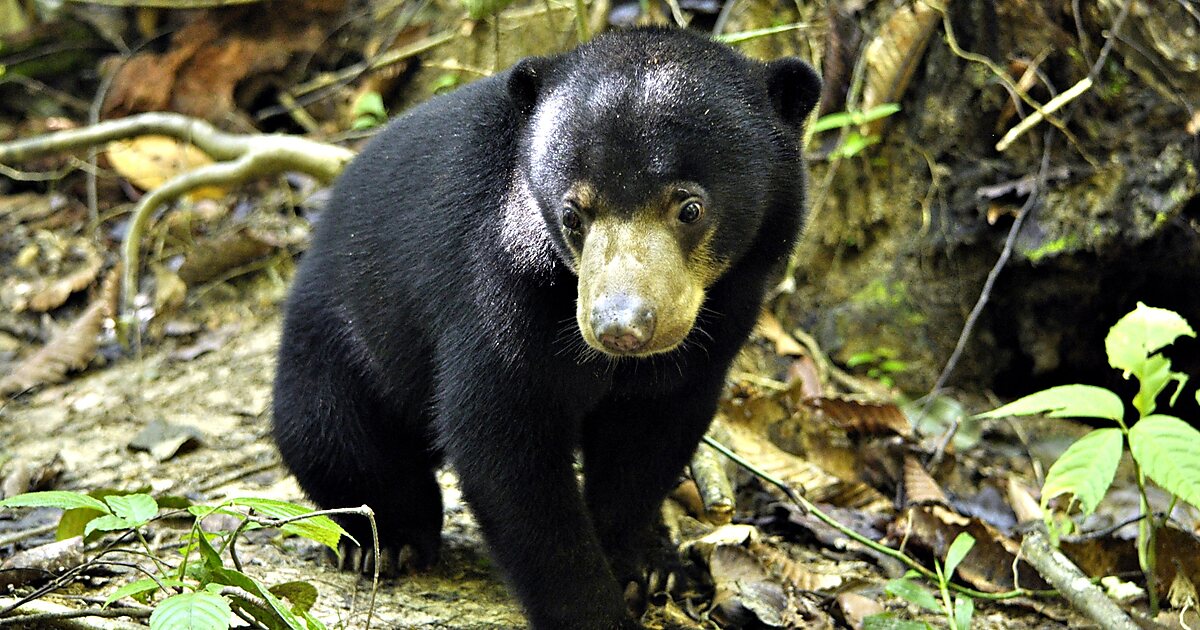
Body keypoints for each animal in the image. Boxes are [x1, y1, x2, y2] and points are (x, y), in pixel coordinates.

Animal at [272, 26, 820, 630]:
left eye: (690, 209)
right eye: (572, 216)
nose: (620, 327)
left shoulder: (723, 315)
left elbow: (651, 435)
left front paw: (641, 568)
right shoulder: (497, 286)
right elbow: (507, 442)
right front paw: (597, 610)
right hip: (339, 336)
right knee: (330, 432)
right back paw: (387, 541)